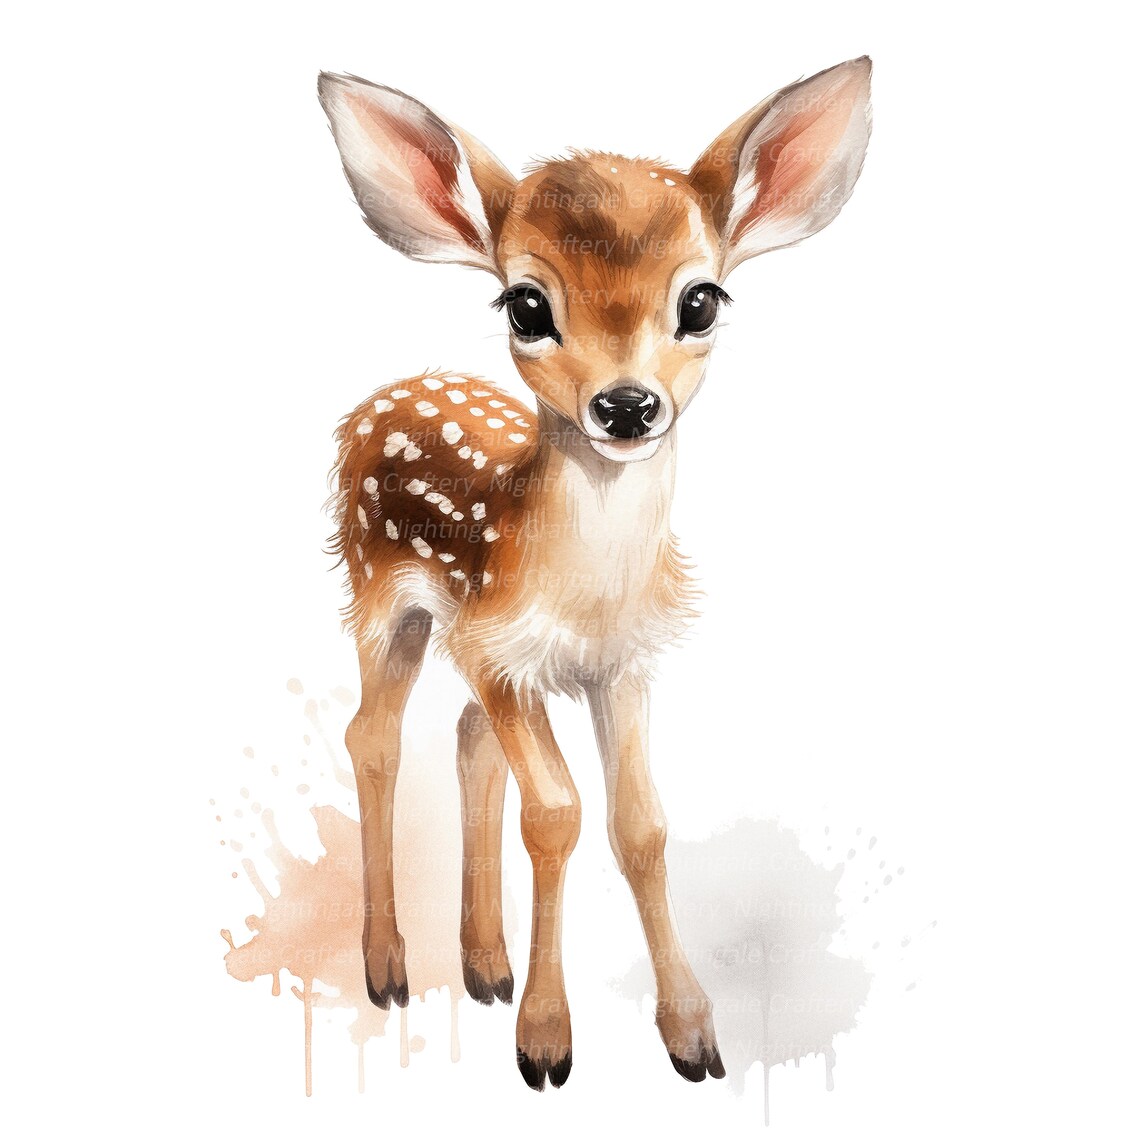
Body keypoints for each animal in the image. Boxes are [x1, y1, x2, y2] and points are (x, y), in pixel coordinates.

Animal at [316, 57, 871, 1091]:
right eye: (526, 304)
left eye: (701, 300)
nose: (626, 405)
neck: (585, 589)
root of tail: (379, 400)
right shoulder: (498, 645)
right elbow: (558, 815)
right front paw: (545, 1042)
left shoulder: (619, 664)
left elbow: (639, 825)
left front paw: (692, 1035)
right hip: (382, 597)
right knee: (373, 735)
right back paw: (389, 968)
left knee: (464, 737)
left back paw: (484, 965)